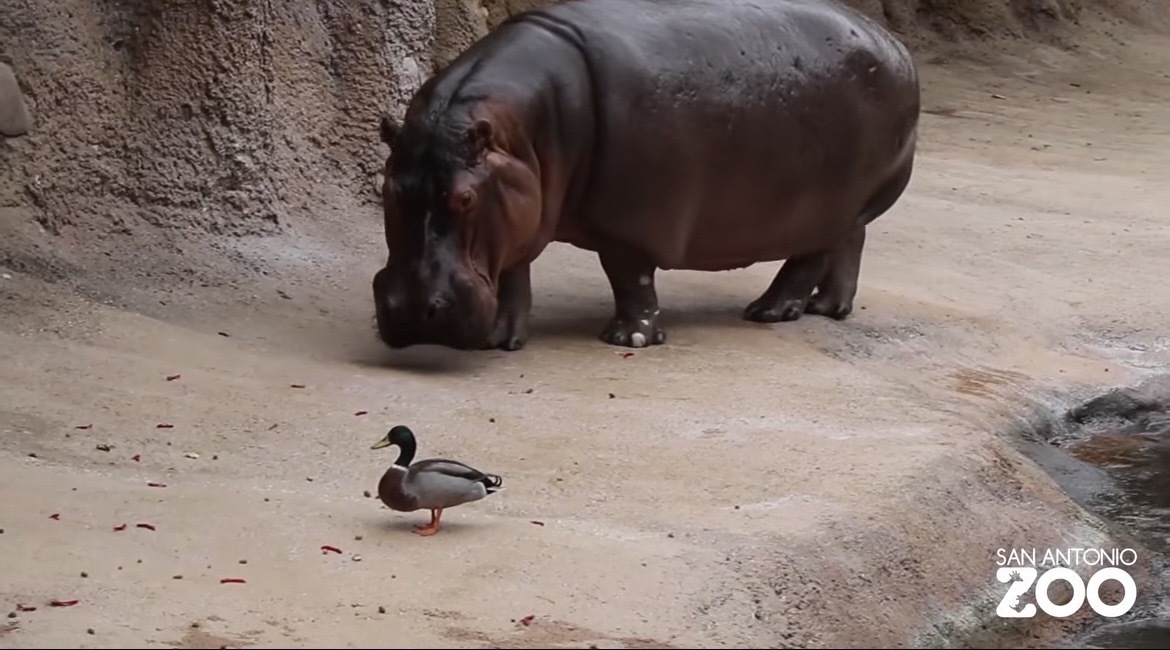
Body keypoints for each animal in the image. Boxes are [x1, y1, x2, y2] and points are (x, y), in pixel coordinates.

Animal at [373, 0, 920, 351]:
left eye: (465, 199)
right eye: (389, 190)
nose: (411, 309)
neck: (524, 132)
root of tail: (897, 47)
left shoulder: (628, 223)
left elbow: (629, 276)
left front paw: (629, 339)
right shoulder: (517, 209)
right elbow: (512, 272)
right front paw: (498, 341)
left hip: (830, 205)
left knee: (811, 256)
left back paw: (769, 311)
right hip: (845, 206)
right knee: (850, 241)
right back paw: (827, 308)